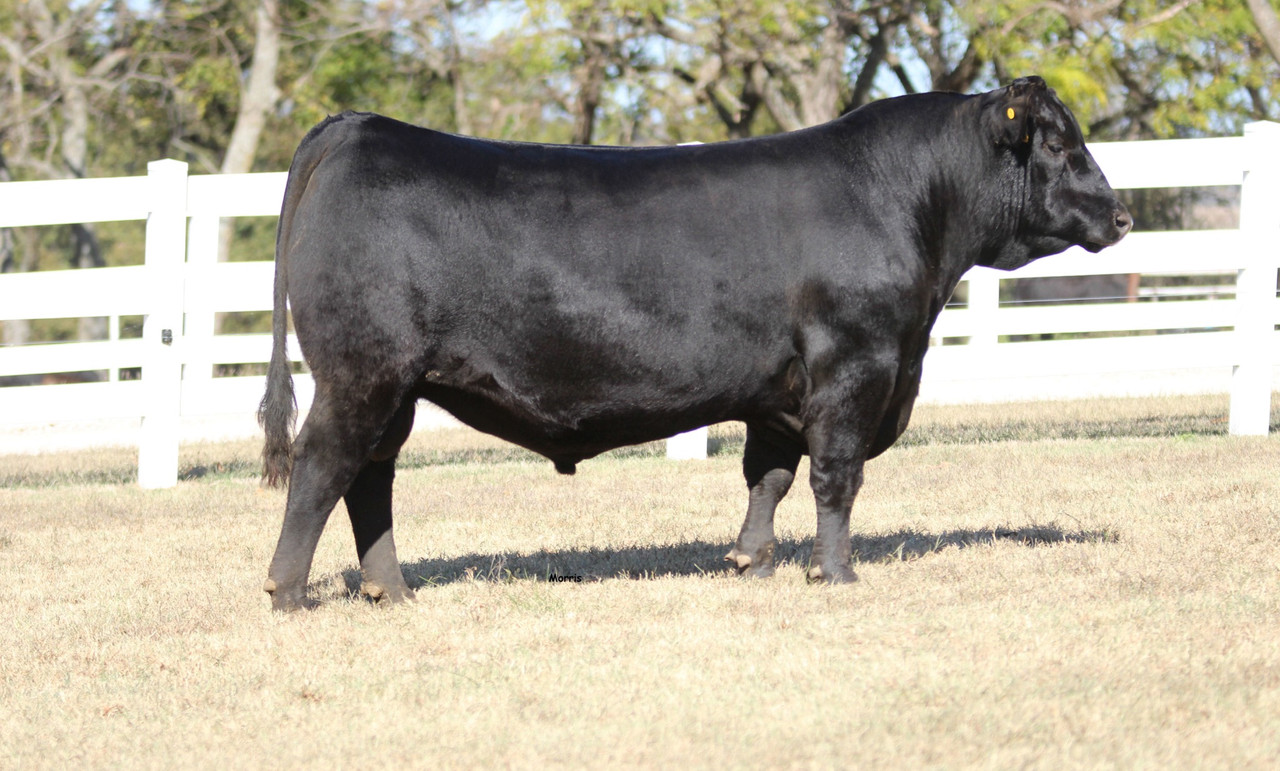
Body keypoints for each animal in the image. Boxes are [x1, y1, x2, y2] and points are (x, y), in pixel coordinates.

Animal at [258, 75, 1131, 611]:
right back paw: (290, 591)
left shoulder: (781, 392)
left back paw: (392, 589)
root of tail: (358, 126)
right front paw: (837, 573)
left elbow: (769, 474)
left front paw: (751, 560)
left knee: (371, 475)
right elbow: (836, 477)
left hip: (397, 386)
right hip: (362, 372)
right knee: (323, 465)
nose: (1122, 215)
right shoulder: (856, 365)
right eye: (1058, 145)